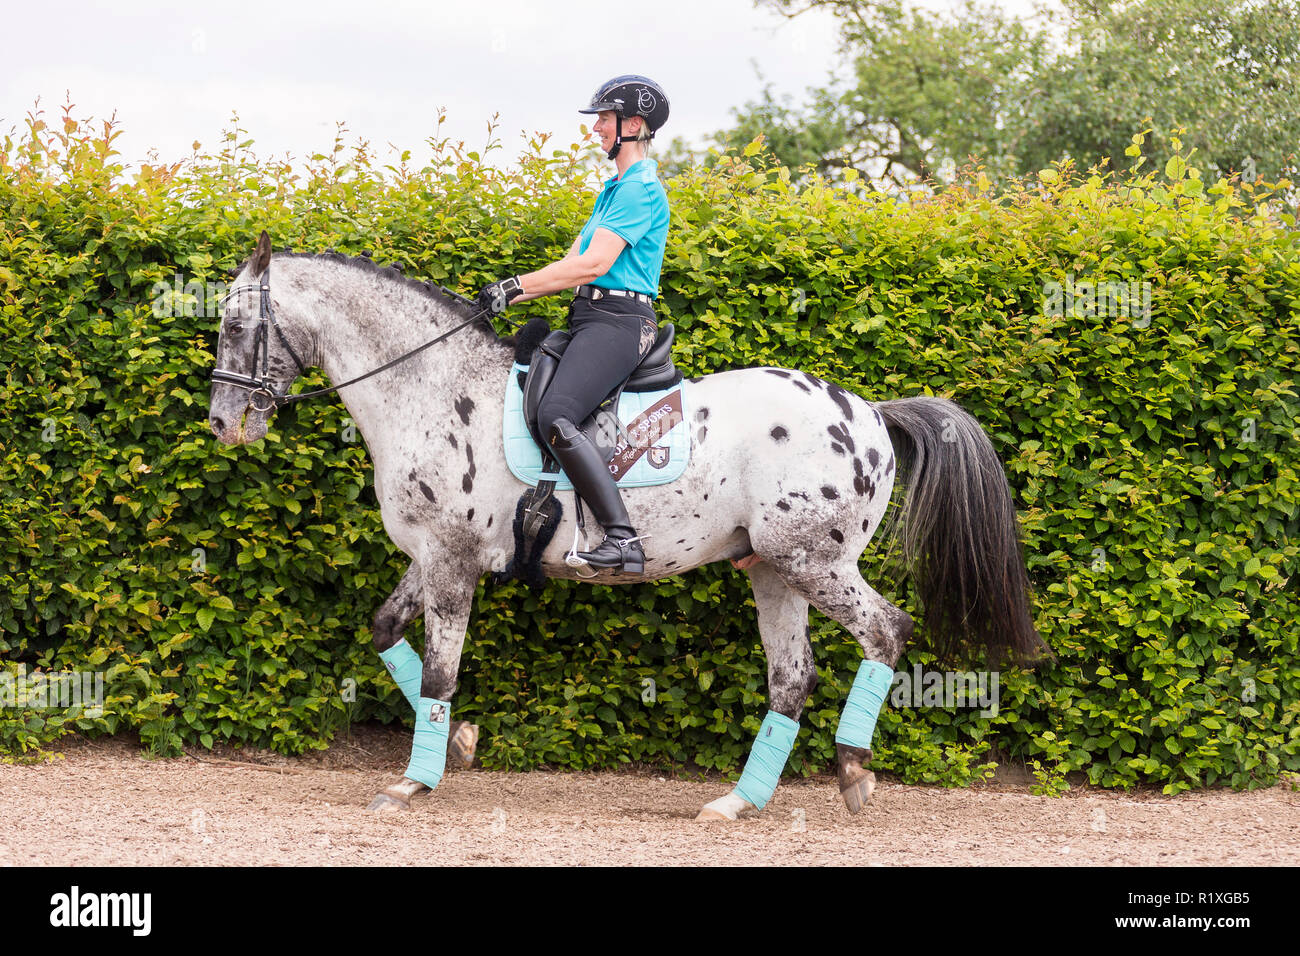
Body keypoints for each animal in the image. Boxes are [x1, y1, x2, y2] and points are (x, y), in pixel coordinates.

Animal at [208, 235, 1050, 816]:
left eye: (237, 323)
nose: (222, 425)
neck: (432, 387)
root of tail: (870, 411)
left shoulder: (451, 561)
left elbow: (442, 671)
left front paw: (415, 782)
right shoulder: (433, 556)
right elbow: (387, 631)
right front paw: (459, 743)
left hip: (815, 562)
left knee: (886, 631)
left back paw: (852, 772)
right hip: (773, 570)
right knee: (791, 677)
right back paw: (740, 802)